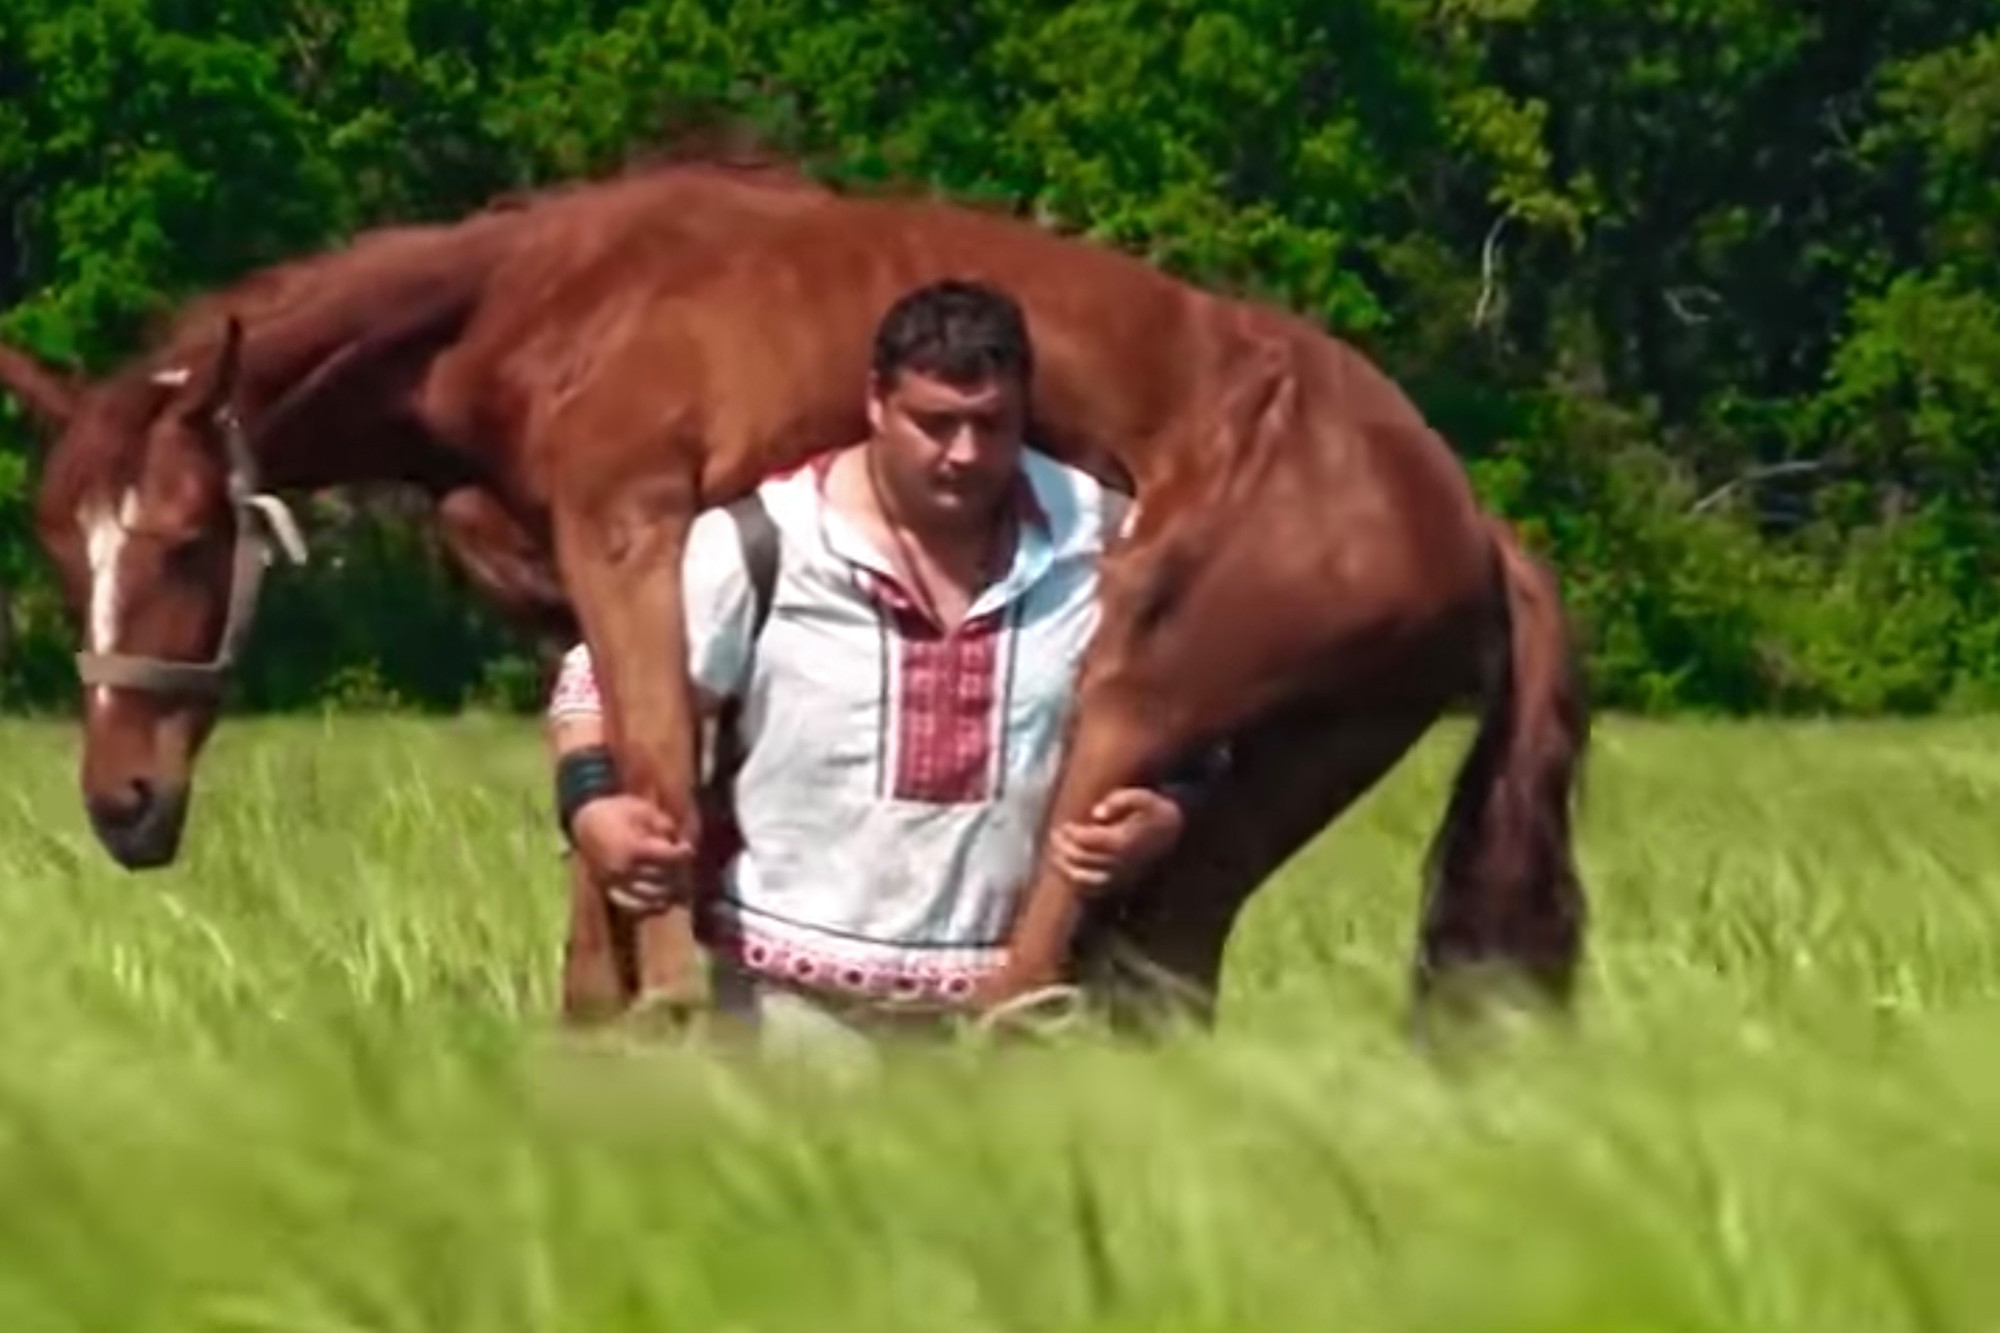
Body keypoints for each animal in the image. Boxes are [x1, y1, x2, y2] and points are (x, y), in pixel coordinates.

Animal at [0, 147, 1588, 1034]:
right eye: (61, 547)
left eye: (187, 543)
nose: (122, 802)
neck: (537, 302)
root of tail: (1466, 513)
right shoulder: (585, 599)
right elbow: (616, 837)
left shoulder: (631, 539)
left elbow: (650, 803)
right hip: (1290, 760)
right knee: (1165, 964)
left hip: (1144, 675)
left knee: (1057, 926)